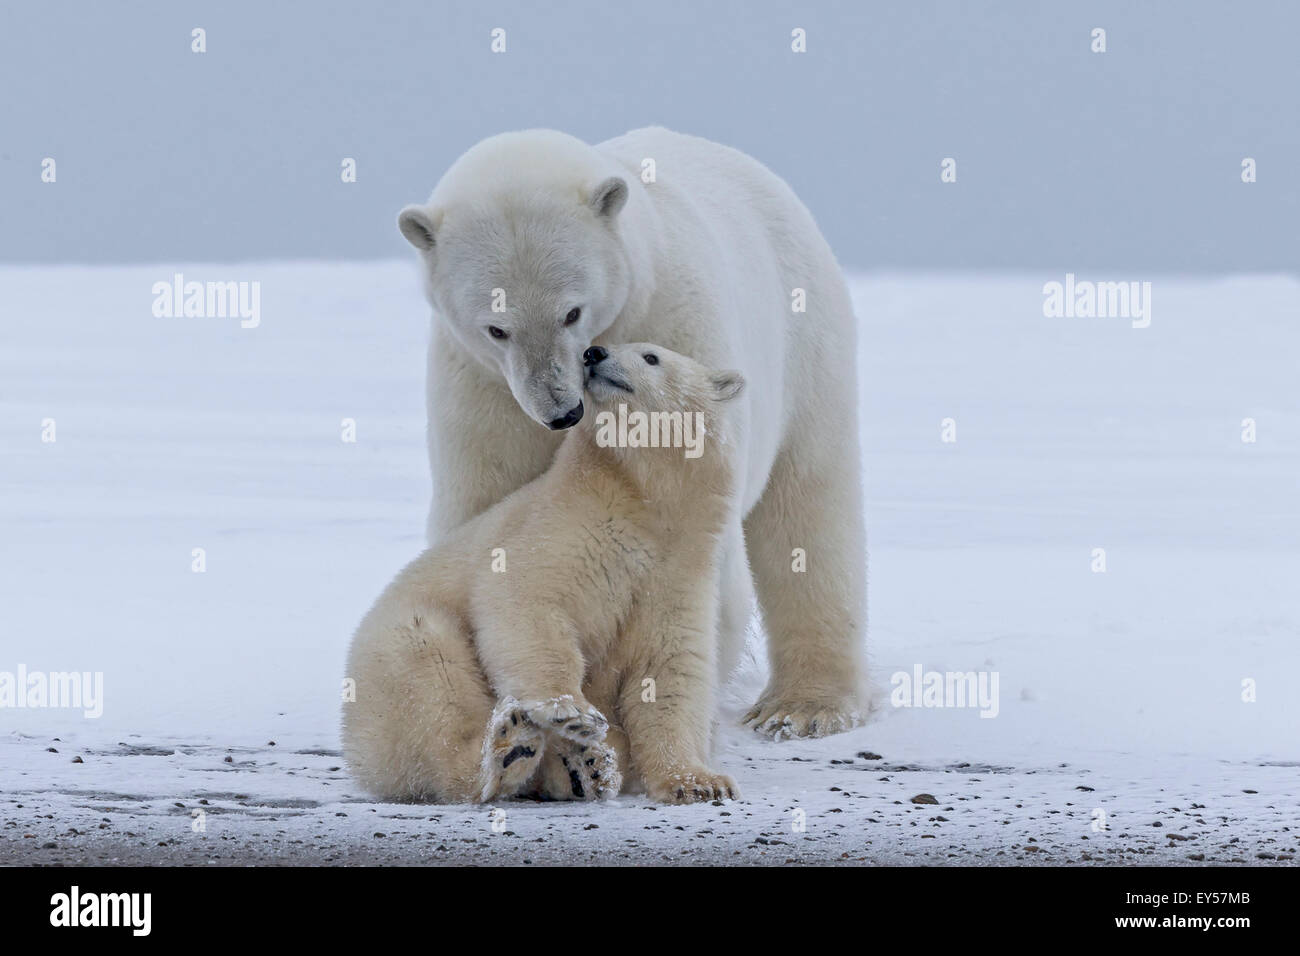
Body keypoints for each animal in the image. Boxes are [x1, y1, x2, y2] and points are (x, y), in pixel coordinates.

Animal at [342, 343, 746, 804]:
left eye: (651, 357)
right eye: (605, 347)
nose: (594, 353)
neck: (643, 501)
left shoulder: (680, 571)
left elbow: (669, 670)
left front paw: (700, 782)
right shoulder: (568, 526)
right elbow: (526, 599)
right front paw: (572, 711)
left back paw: (586, 768)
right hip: (392, 655)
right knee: (432, 679)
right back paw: (511, 748)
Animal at [397, 127, 870, 740]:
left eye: (572, 312)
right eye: (496, 327)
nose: (562, 412)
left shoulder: (675, 329)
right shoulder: (482, 389)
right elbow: (487, 523)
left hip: (807, 340)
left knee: (808, 508)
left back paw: (804, 706)